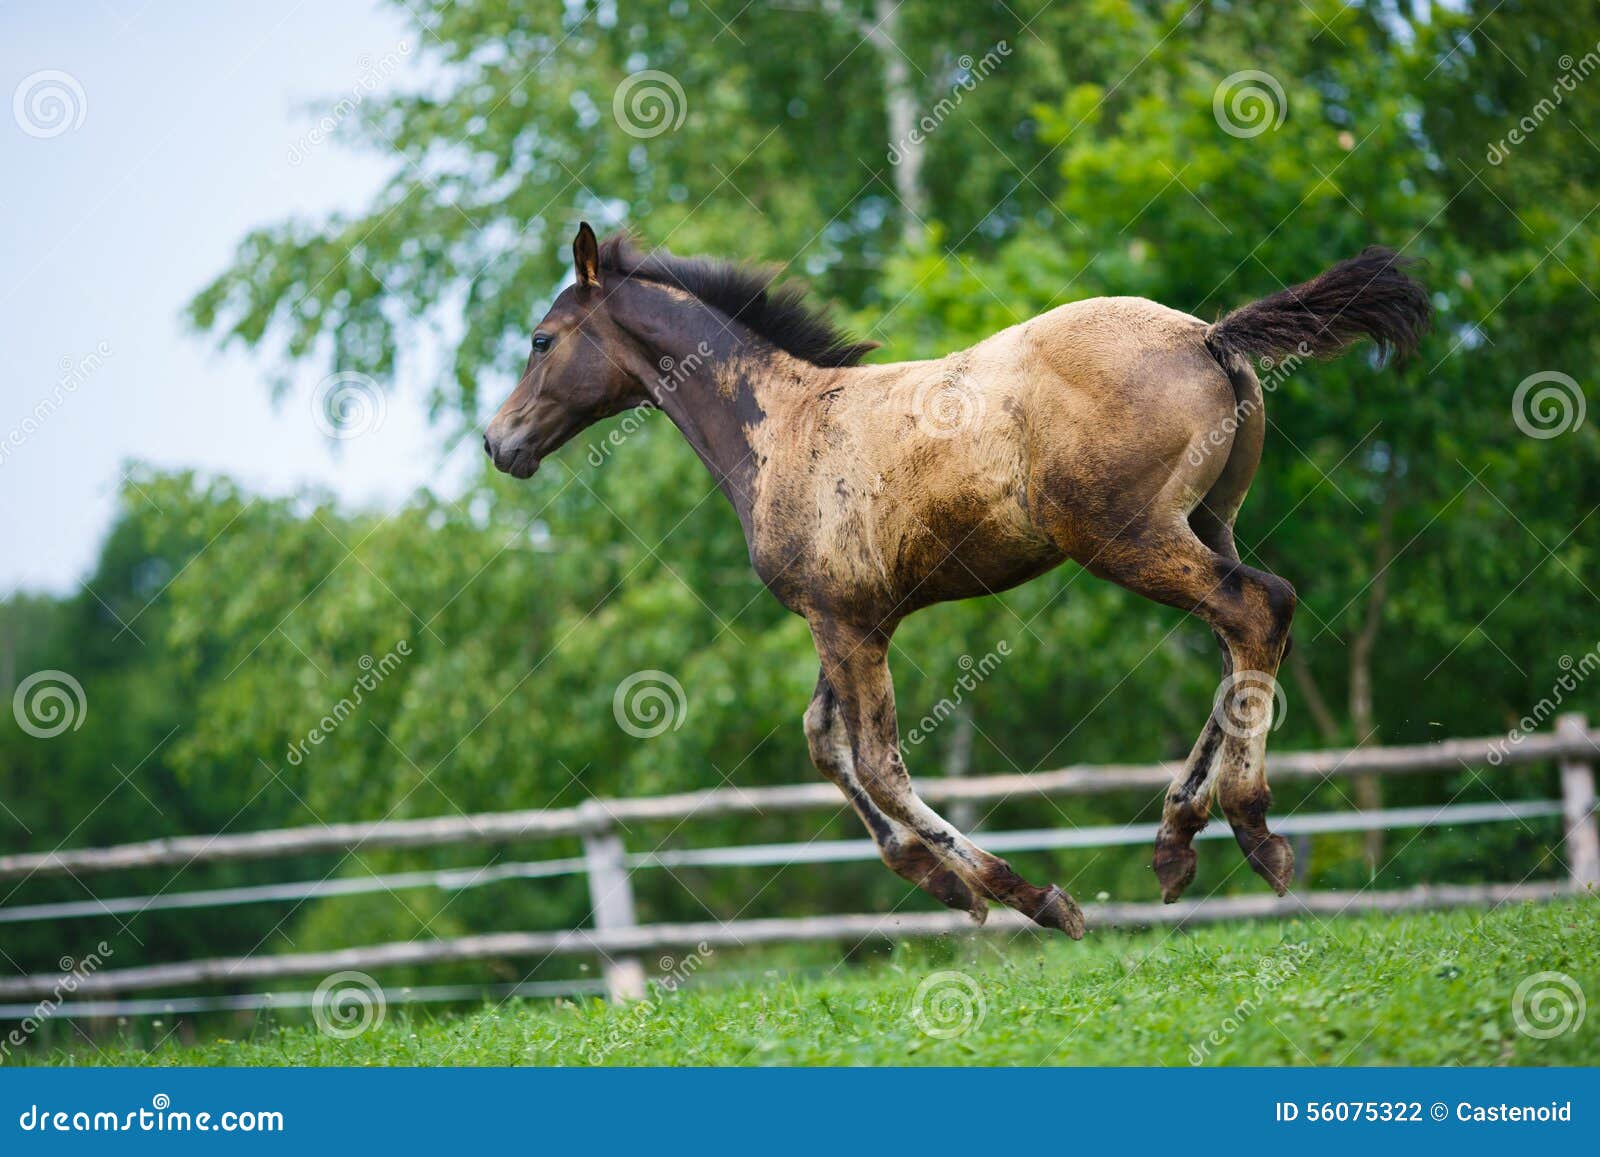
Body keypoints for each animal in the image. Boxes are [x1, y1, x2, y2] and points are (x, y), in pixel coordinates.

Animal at [485, 223, 1430, 937]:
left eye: (540, 340)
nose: (499, 443)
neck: (783, 425)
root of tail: (1206, 335)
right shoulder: (851, 617)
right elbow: (823, 739)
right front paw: (941, 883)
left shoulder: (843, 621)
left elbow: (877, 762)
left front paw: (1033, 898)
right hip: (1203, 523)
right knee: (1247, 634)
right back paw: (1177, 841)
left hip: (1127, 538)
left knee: (1255, 608)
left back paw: (1253, 830)